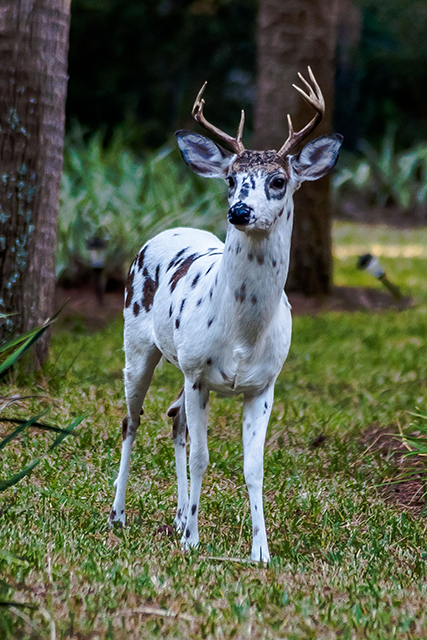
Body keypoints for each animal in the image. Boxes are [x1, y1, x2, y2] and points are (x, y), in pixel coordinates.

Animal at [109, 68, 343, 562]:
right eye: (231, 179)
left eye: (278, 180)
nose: (239, 211)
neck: (243, 335)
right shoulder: (199, 371)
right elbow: (202, 457)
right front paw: (193, 543)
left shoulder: (265, 384)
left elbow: (254, 467)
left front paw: (260, 551)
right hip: (138, 344)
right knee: (132, 420)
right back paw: (118, 513)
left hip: (180, 367)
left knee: (174, 419)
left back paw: (180, 515)